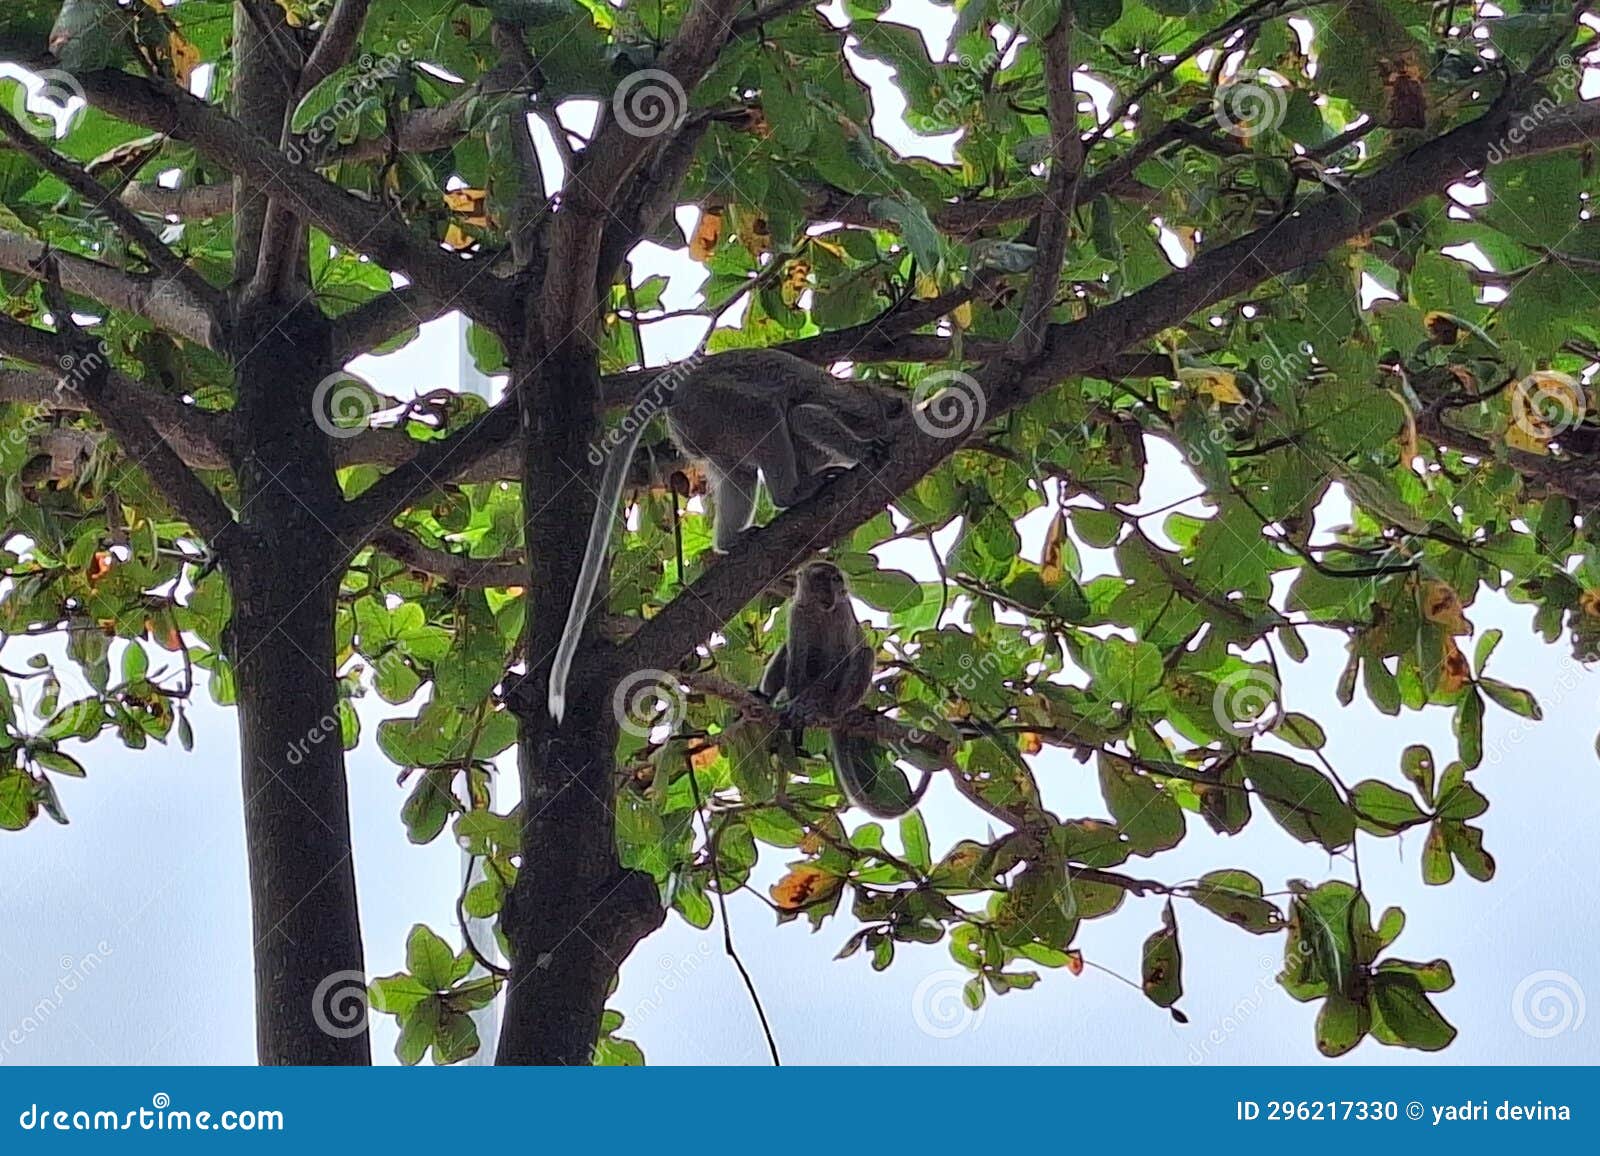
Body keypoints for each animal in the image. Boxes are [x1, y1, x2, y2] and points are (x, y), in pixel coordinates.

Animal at [547, 349, 908, 723]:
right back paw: (790, 495)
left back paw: (730, 542)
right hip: (716, 404)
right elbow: (804, 416)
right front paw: (863, 450)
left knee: (740, 470)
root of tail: (681, 385)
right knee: (766, 416)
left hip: (699, 425)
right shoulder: (856, 408)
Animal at [758, 561, 918, 818]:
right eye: (822, 579)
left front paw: (806, 706)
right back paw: (766, 697)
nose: (833, 592)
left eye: (836, 580)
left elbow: (841, 658)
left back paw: (828, 708)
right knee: (789, 652)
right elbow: (796, 659)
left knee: (864, 654)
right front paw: (794, 712)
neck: (820, 611)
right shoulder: (798, 612)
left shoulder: (842, 612)